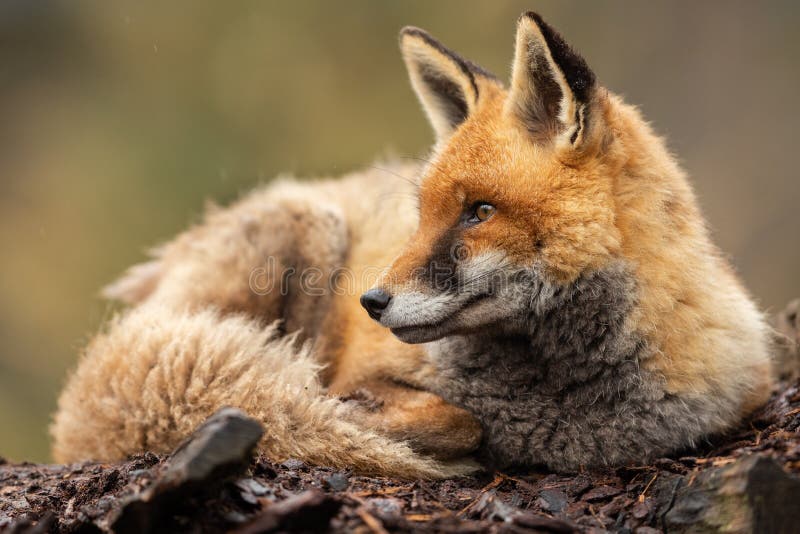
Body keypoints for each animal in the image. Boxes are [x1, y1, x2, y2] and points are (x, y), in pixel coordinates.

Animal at [51, 12, 773, 476]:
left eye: (479, 213)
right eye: (421, 215)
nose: (371, 301)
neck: (562, 402)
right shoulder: (371, 373)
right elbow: (452, 420)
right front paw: (346, 419)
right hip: (306, 232)